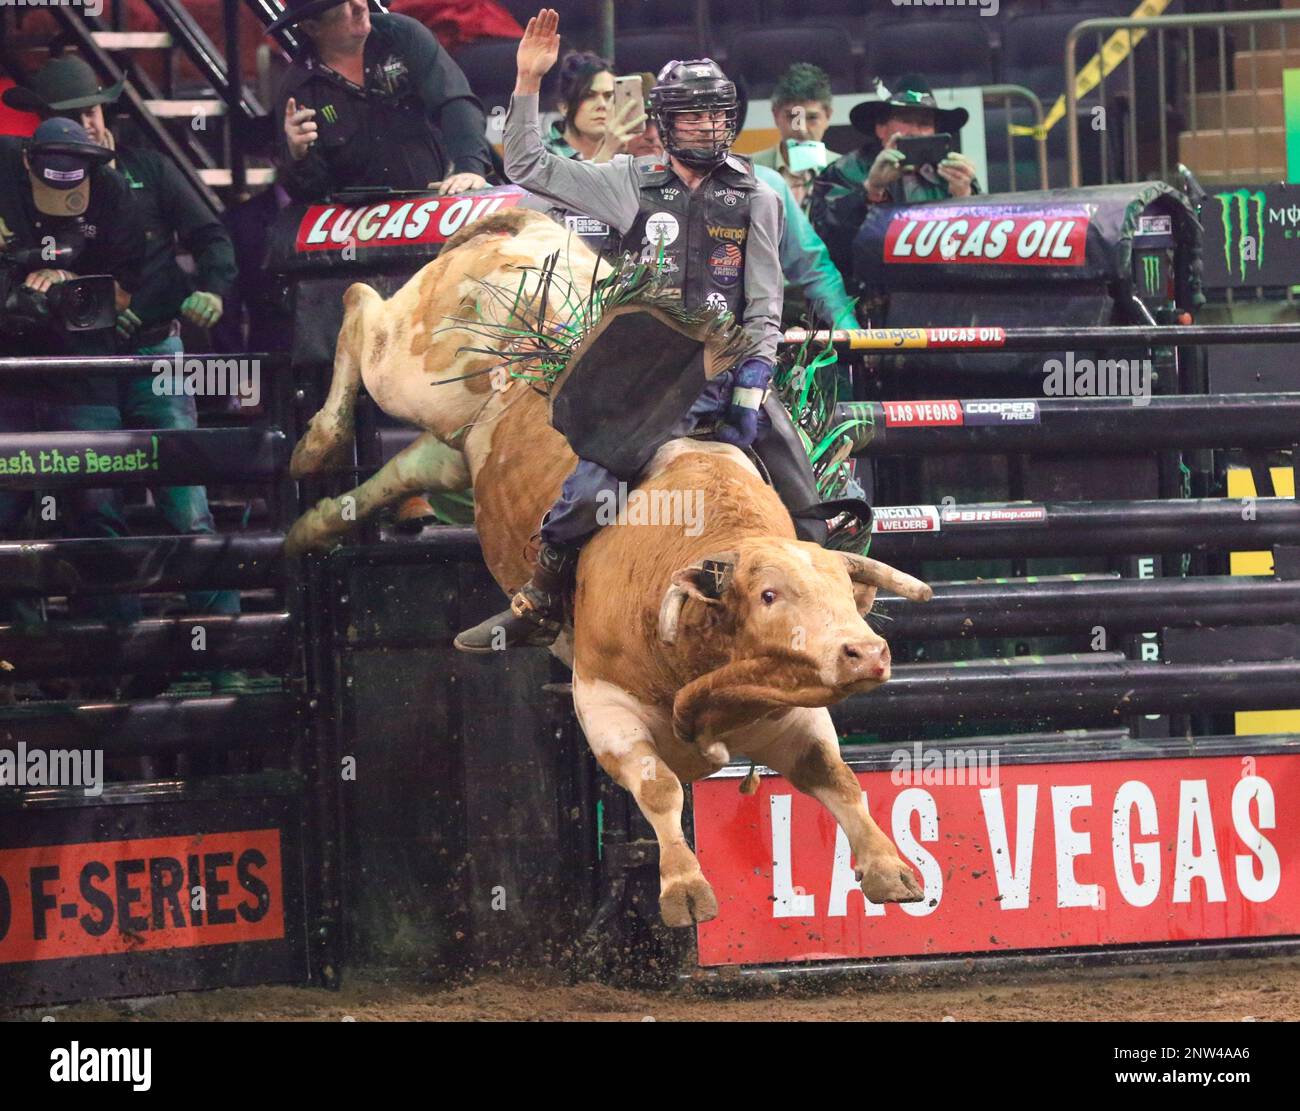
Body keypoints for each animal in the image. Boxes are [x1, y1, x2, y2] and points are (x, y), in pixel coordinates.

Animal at [287, 206, 933, 926]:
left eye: (845, 594)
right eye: (768, 595)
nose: (864, 652)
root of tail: (525, 225)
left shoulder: (788, 714)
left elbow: (835, 775)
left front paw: (888, 869)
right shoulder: (604, 706)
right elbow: (658, 787)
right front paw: (683, 889)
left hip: (457, 442)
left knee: (411, 462)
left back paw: (313, 524)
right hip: (416, 366)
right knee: (360, 309)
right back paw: (316, 444)